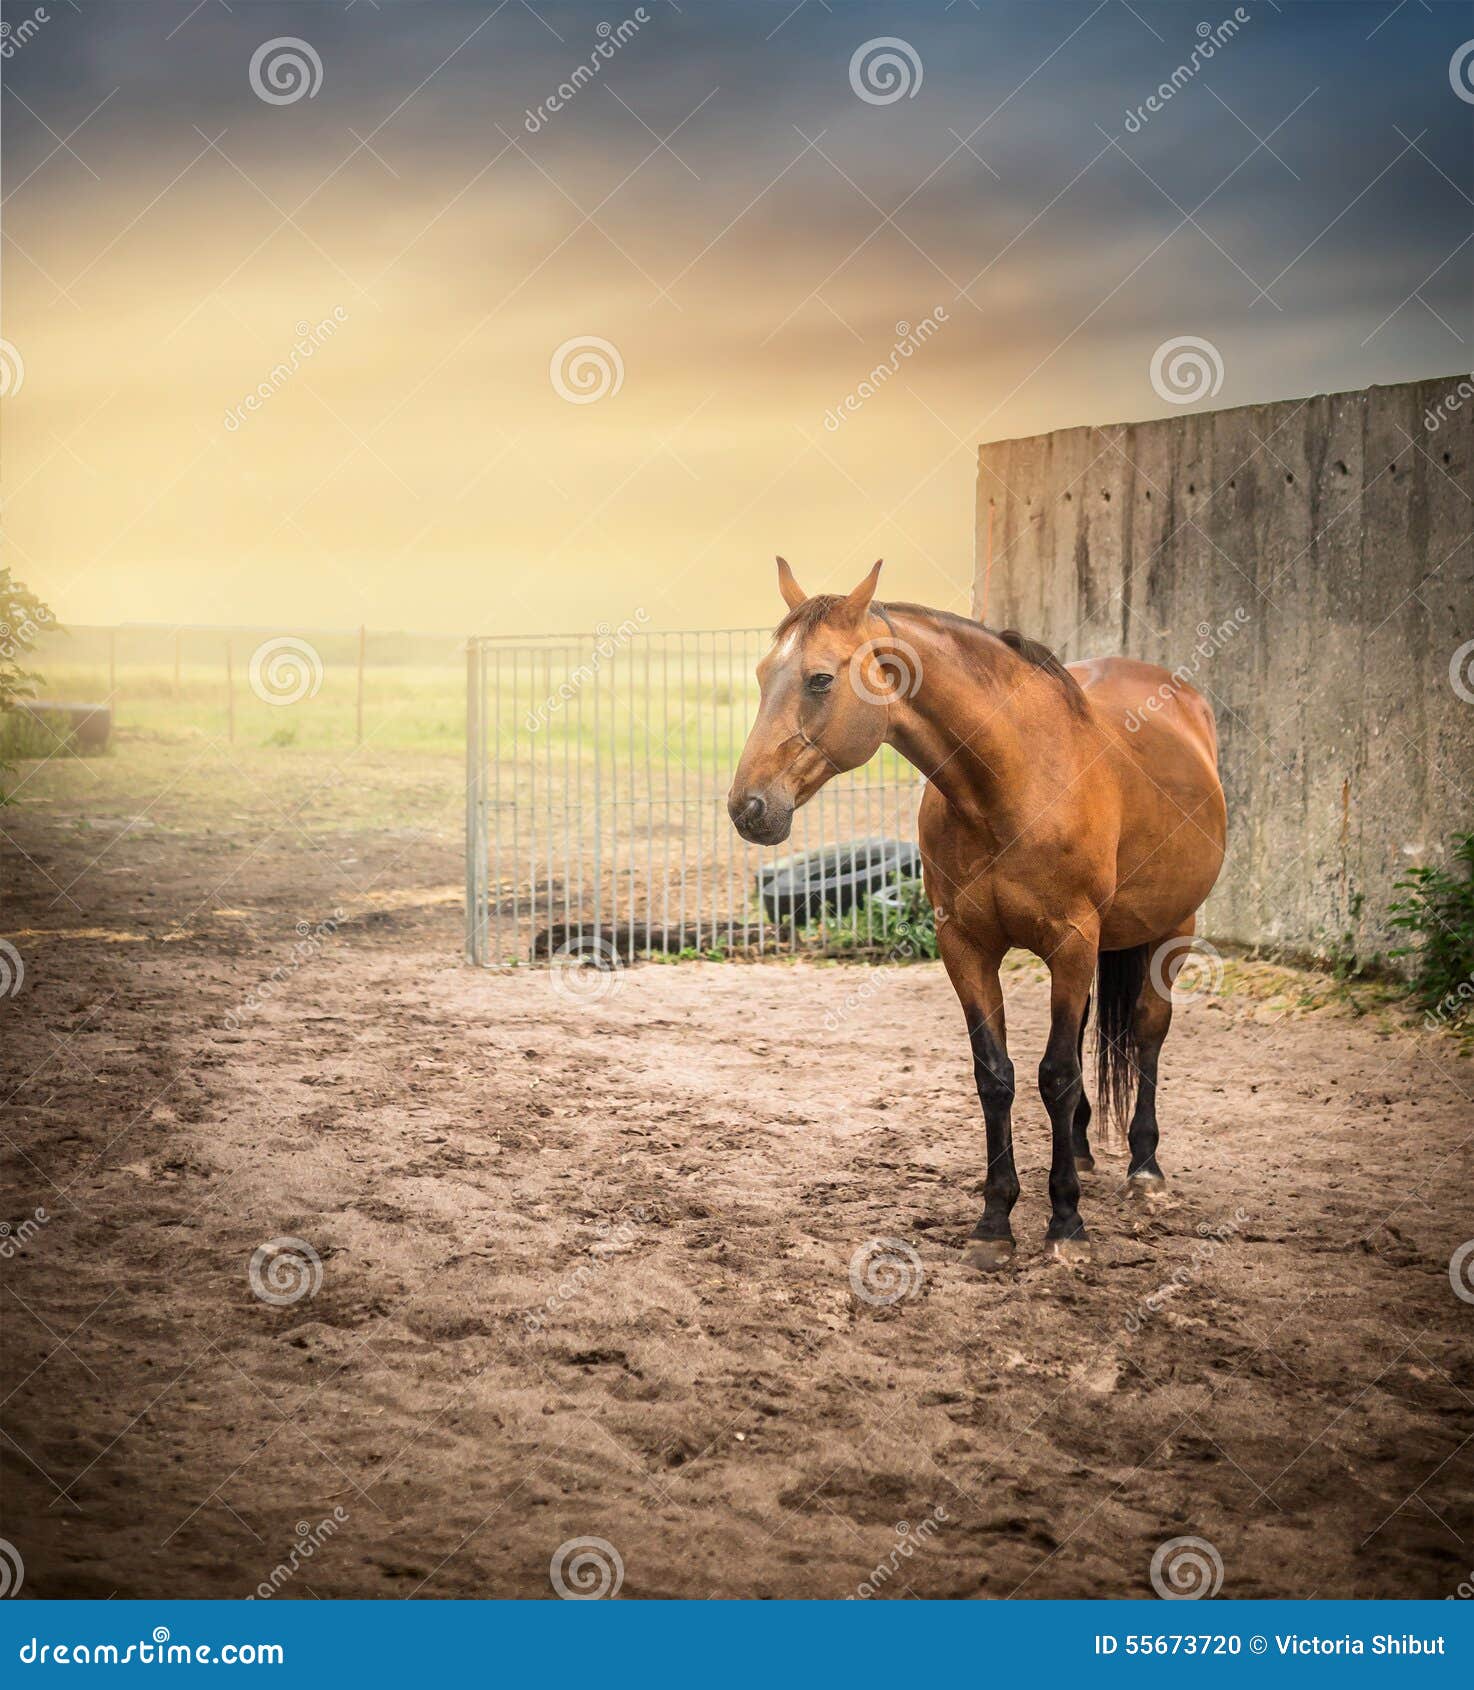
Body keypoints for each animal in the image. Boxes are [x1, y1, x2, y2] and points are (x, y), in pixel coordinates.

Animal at [728, 558, 1226, 1269]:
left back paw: (1144, 1169)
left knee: (1148, 1033)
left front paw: (1065, 1223)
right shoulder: (966, 946)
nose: (749, 807)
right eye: (764, 674)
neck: (1012, 781)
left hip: (1170, 931)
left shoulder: (1072, 940)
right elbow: (999, 1076)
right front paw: (995, 1221)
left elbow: (1056, 1075)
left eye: (820, 678)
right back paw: (1081, 1151)